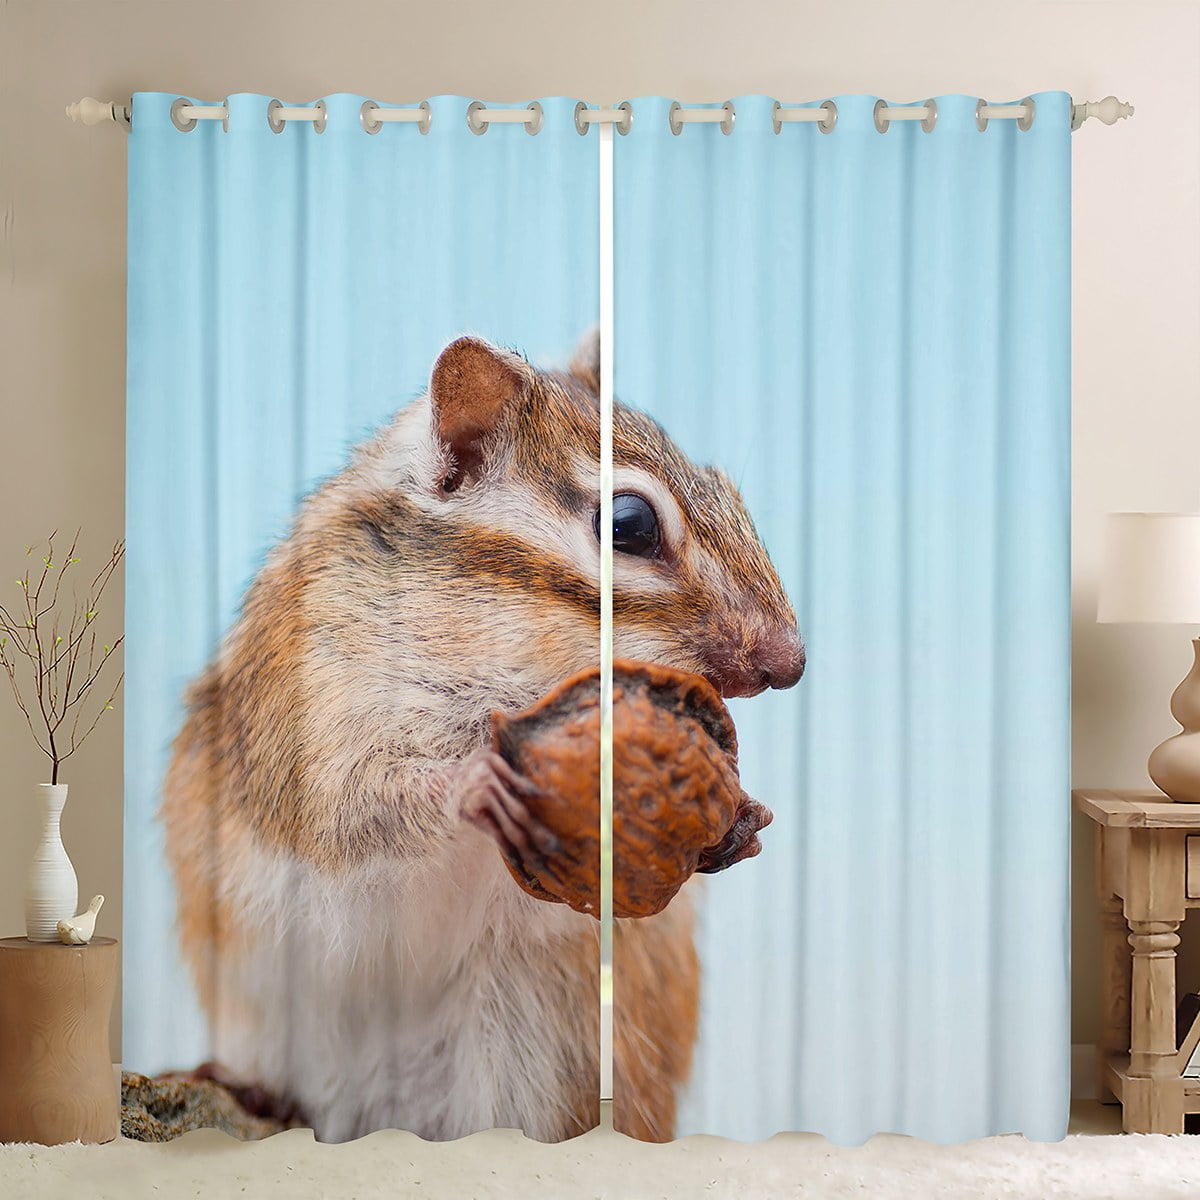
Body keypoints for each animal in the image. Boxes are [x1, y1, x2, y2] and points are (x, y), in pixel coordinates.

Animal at [160, 332, 805, 1143]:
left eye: (725, 487)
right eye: (629, 524)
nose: (791, 660)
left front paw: (740, 821)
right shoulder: (313, 711)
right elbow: (354, 805)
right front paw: (474, 780)